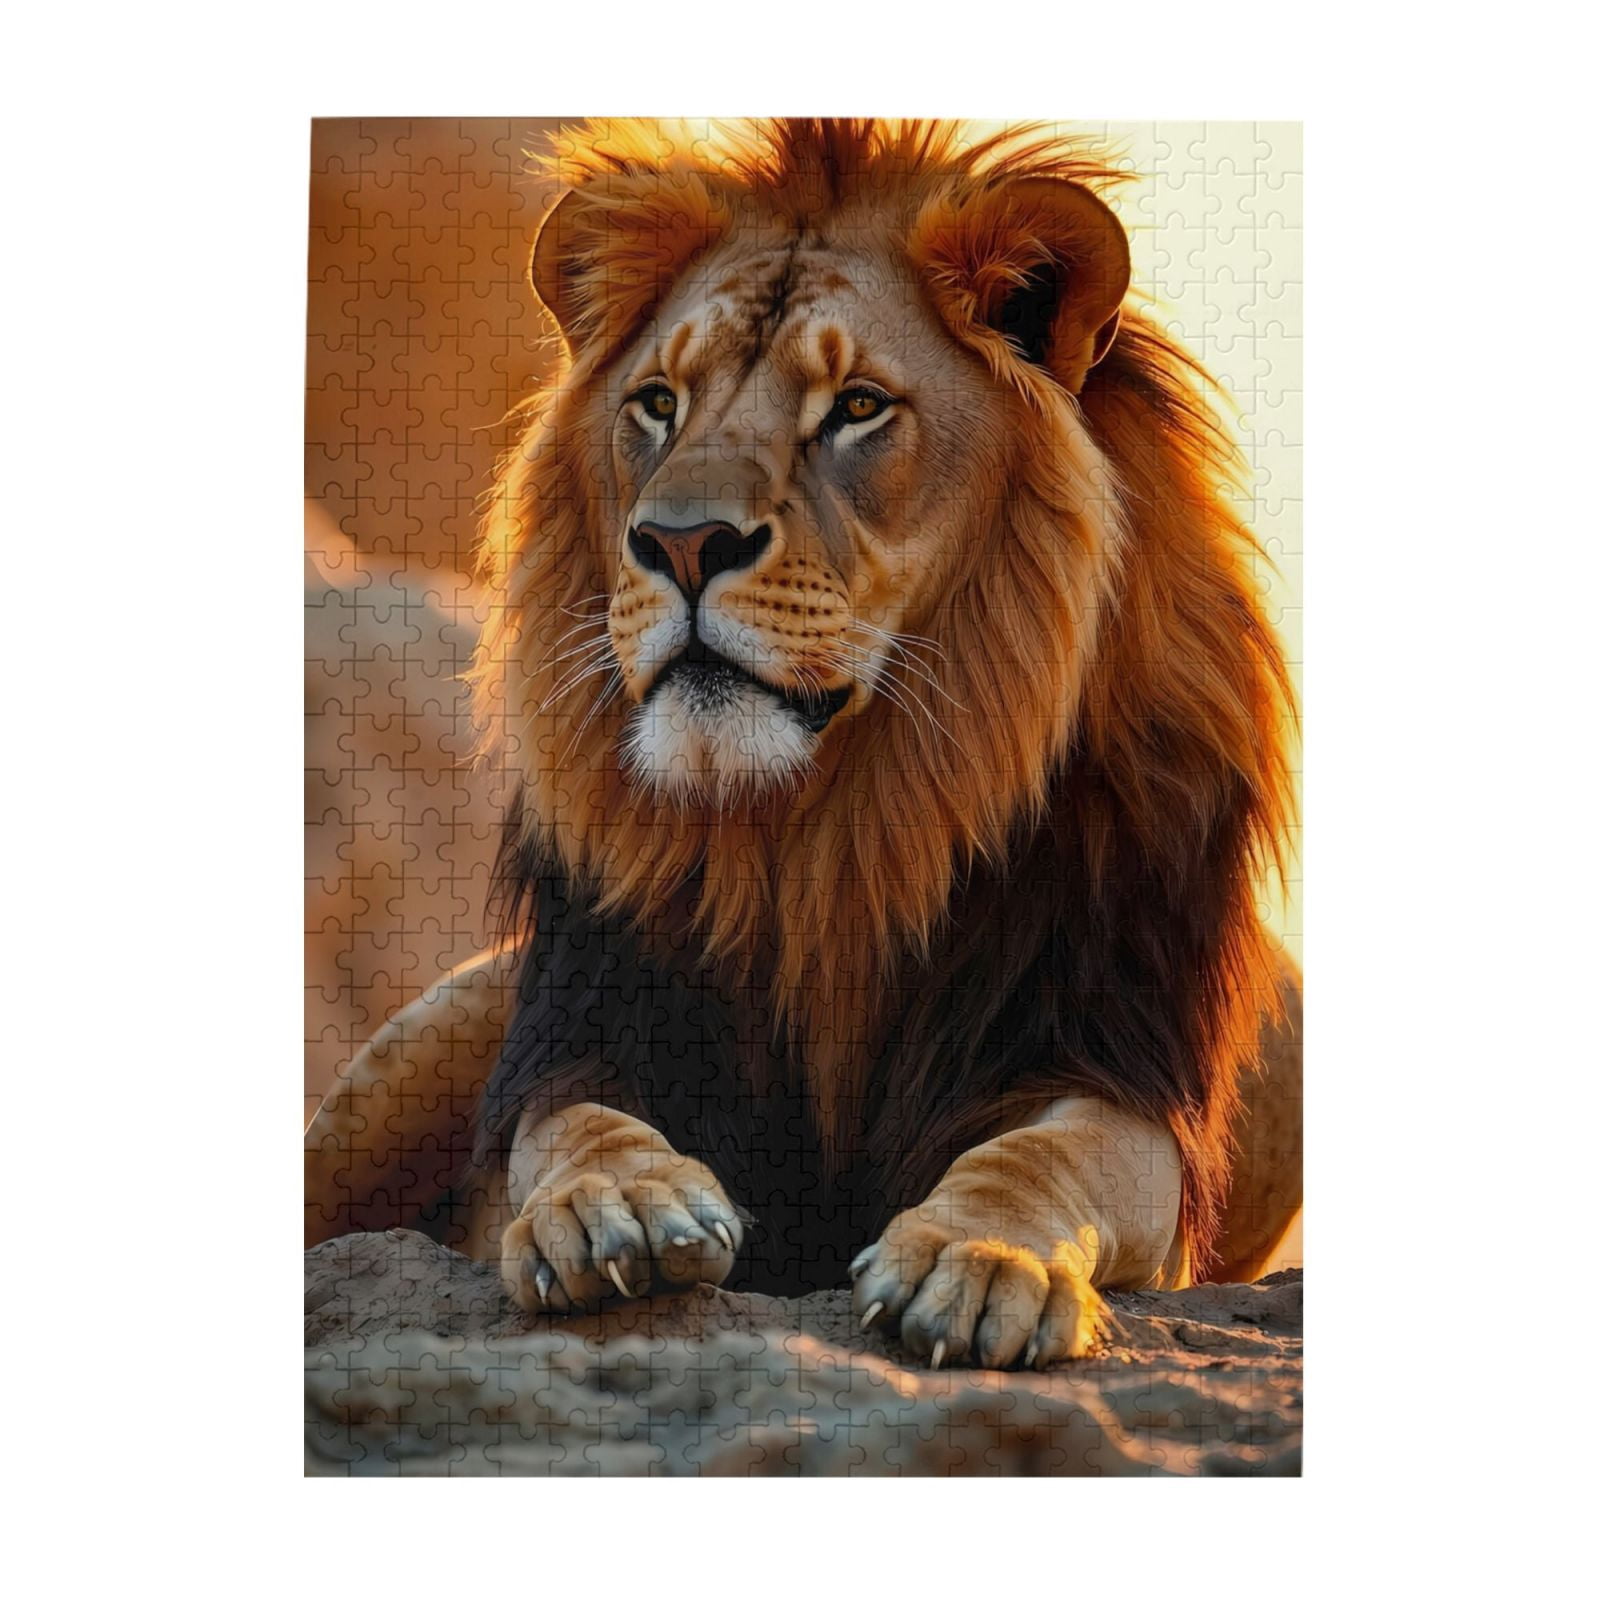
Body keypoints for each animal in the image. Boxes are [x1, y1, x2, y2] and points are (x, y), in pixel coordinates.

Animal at [305, 118, 1300, 1370]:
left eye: (859, 406)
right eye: (657, 403)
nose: (681, 543)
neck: (828, 827)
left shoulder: (1114, 1059)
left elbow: (1040, 1152)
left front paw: (979, 1259)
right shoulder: (584, 1016)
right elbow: (571, 1127)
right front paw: (611, 1203)